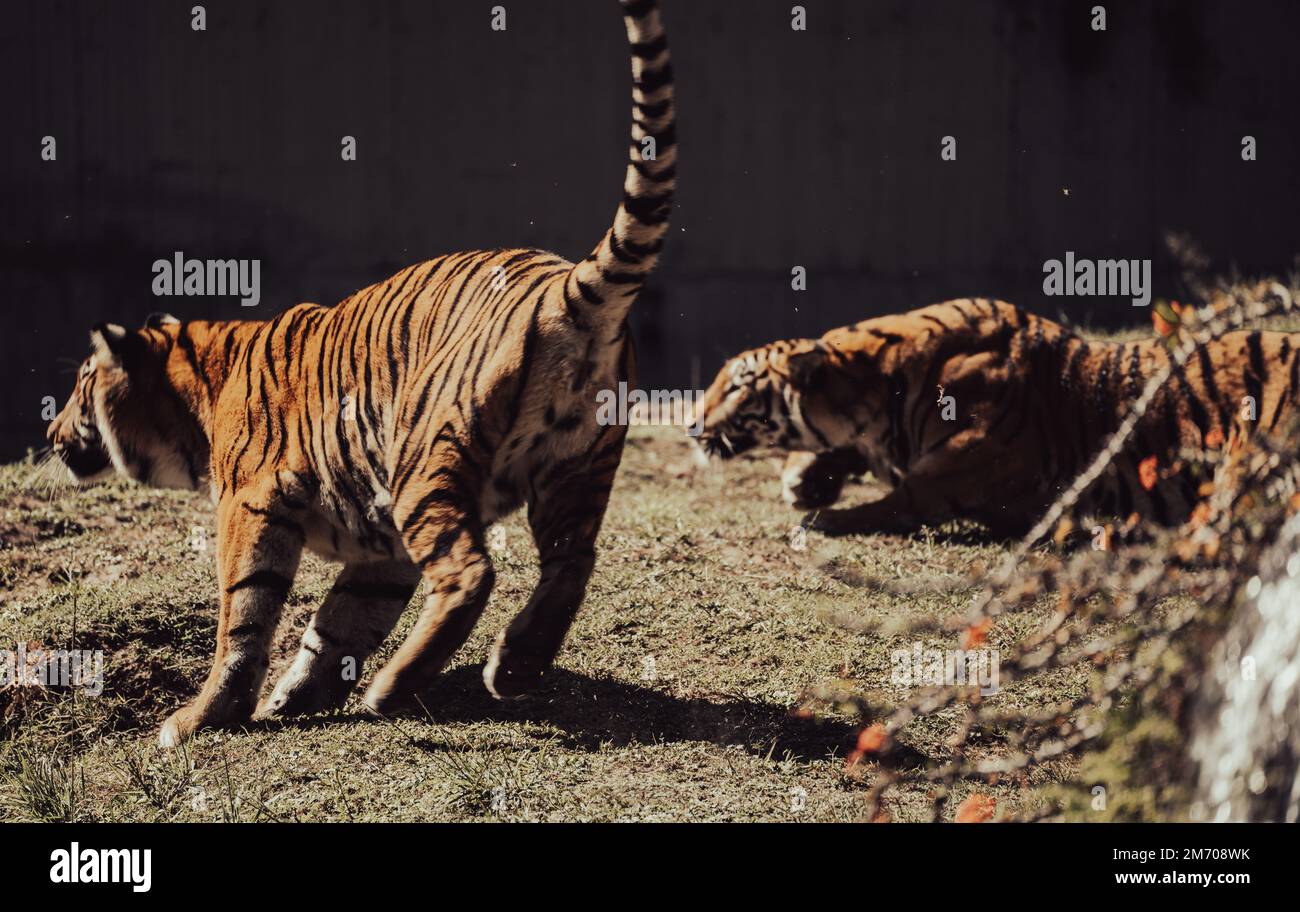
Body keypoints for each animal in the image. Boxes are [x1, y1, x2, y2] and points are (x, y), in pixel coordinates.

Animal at [43, 0, 676, 747]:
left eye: (80, 385)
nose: (50, 432)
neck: (193, 396)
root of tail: (565, 286)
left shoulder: (248, 503)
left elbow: (243, 619)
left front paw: (199, 719)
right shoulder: (380, 551)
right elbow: (337, 625)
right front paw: (294, 698)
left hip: (426, 460)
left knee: (470, 573)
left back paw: (395, 686)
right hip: (574, 472)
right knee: (571, 564)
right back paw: (514, 666)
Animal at [693, 295, 1300, 538]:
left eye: (738, 385)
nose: (692, 424)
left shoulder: (969, 473)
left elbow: (894, 499)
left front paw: (818, 519)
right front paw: (803, 479)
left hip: (1246, 459)